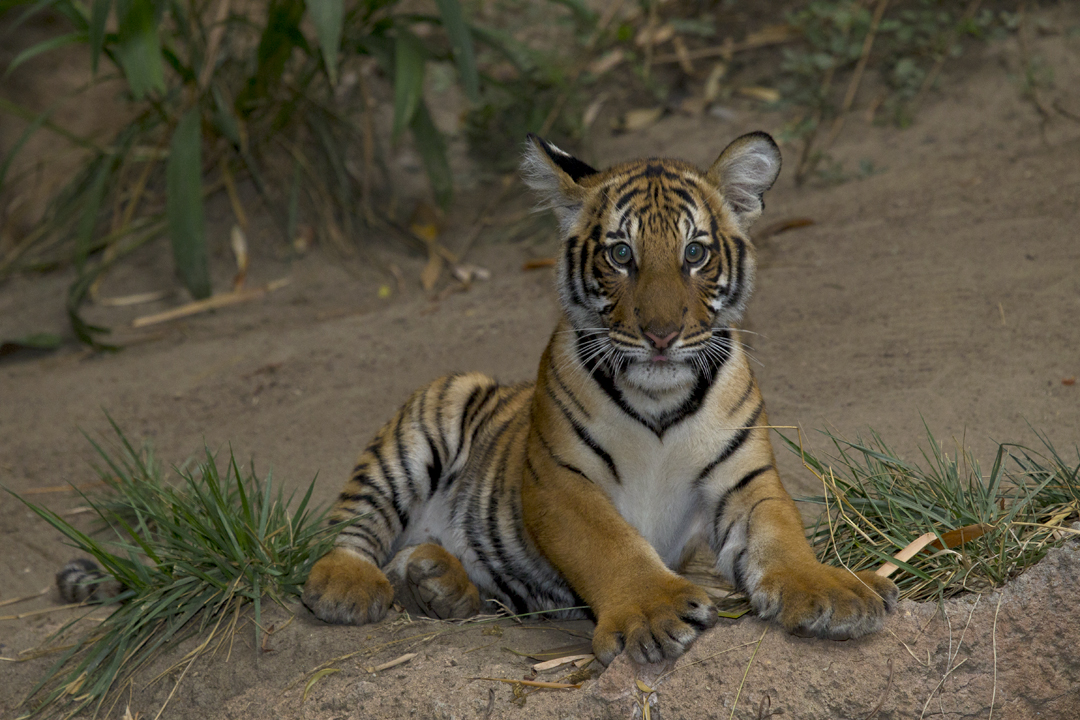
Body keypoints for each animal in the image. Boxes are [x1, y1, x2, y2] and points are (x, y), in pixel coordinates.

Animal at [301, 131, 898, 666]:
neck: (661, 399)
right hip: (428, 419)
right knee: (356, 522)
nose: (661, 335)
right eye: (620, 254)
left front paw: (831, 591)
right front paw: (654, 612)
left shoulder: (746, 479)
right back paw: (347, 585)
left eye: (695, 253)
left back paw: (436, 581)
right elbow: (610, 544)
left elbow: (781, 536)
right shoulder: (559, 482)